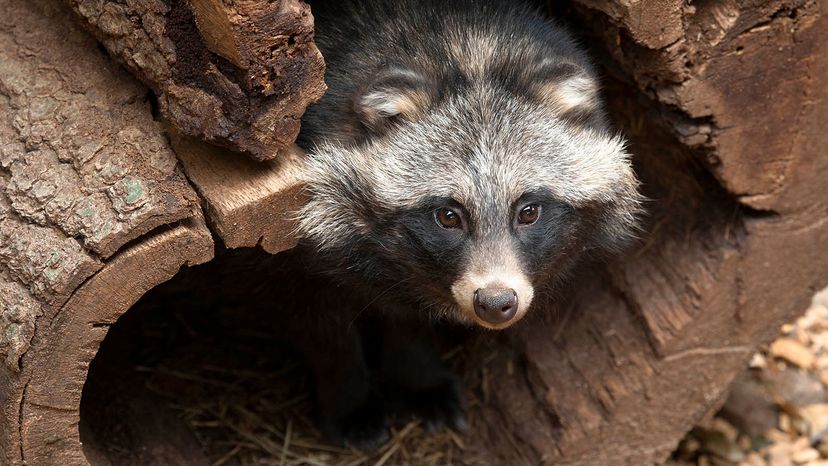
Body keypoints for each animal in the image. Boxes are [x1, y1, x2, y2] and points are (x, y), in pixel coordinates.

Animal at [292, 0, 640, 452]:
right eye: (448, 216)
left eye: (528, 211)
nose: (495, 302)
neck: (468, 49)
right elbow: (324, 324)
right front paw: (348, 396)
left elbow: (408, 321)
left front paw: (417, 373)